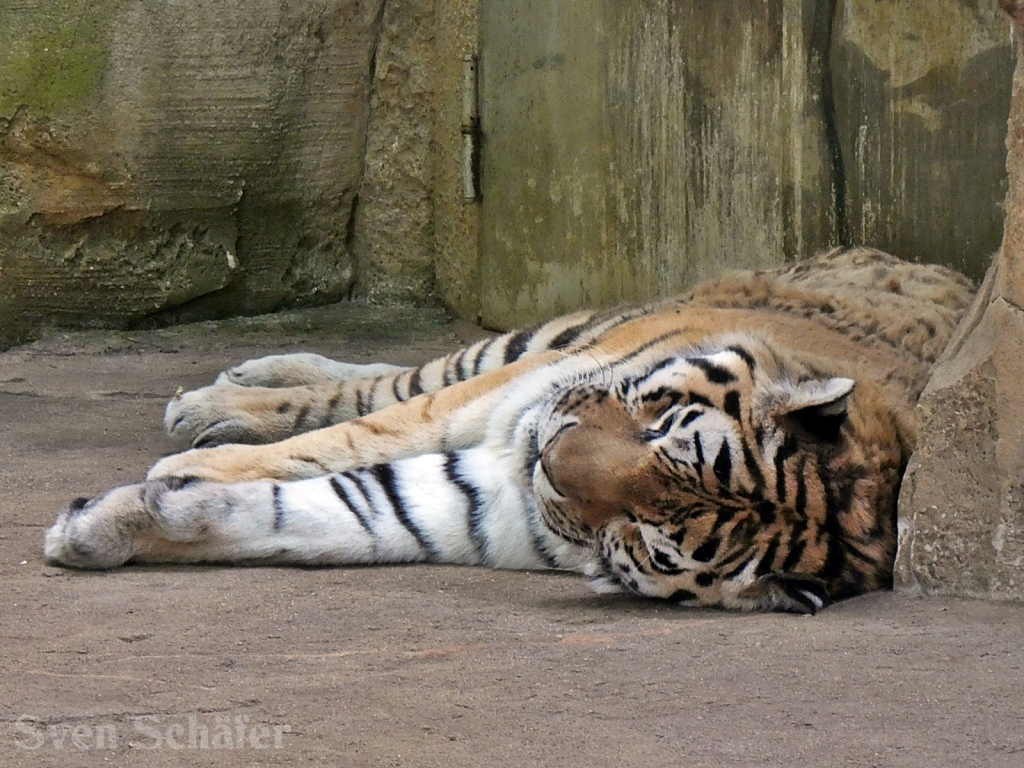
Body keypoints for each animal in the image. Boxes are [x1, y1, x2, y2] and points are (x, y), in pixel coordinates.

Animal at [43, 247, 974, 613]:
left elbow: (332, 509)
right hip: (539, 343)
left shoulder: (481, 505)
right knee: (396, 376)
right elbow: (364, 431)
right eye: (662, 428)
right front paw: (199, 463)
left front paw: (112, 523)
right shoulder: (507, 393)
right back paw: (229, 393)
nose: (547, 458)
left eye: (650, 536)